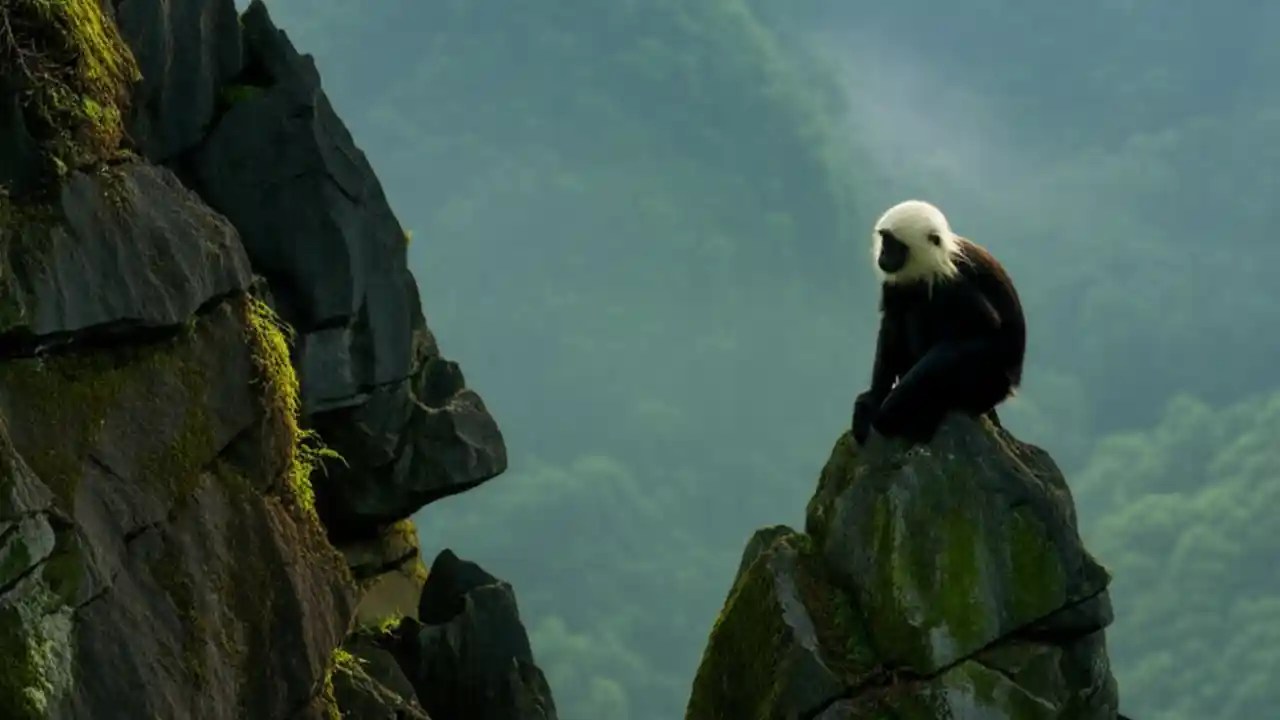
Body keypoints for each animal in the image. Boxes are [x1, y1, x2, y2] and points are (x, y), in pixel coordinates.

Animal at [851, 199, 1026, 445]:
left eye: (893, 244)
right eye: (885, 239)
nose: (883, 254)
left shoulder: (952, 282)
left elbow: (986, 333)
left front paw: (892, 408)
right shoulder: (898, 282)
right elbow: (890, 322)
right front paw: (872, 400)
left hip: (990, 381)